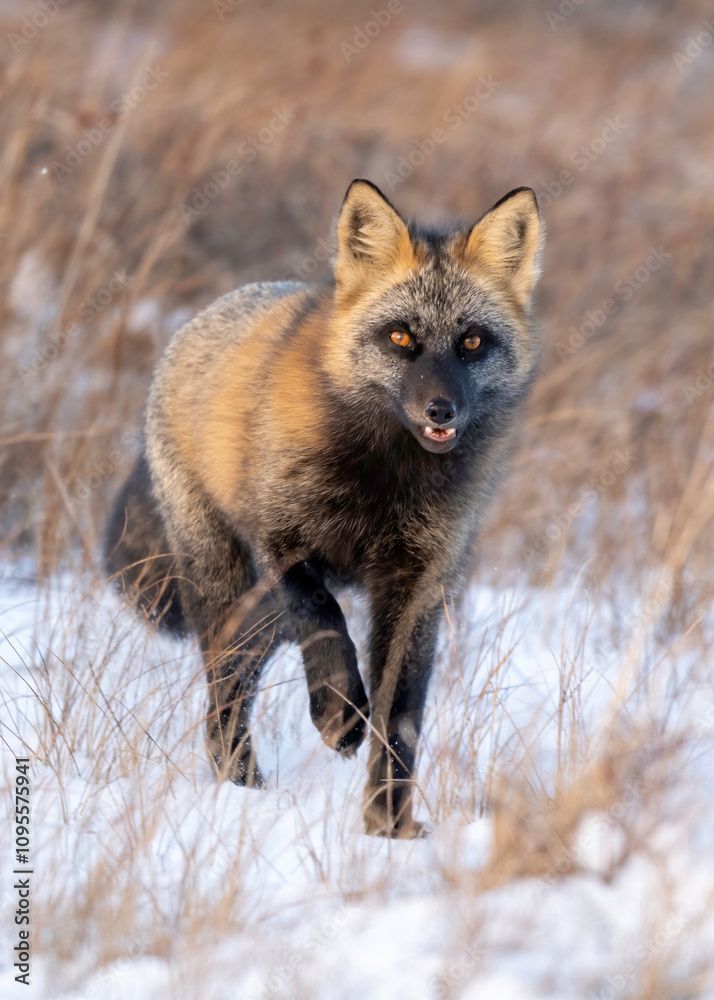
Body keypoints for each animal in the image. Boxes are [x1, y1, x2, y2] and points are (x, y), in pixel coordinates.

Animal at [104, 179, 544, 838]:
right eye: (400, 338)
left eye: (471, 342)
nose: (441, 409)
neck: (384, 480)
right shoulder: (283, 541)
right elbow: (325, 618)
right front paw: (338, 712)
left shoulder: (417, 586)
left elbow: (401, 720)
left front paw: (388, 827)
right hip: (229, 587)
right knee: (224, 686)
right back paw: (240, 781)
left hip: (261, 619)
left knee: (229, 687)